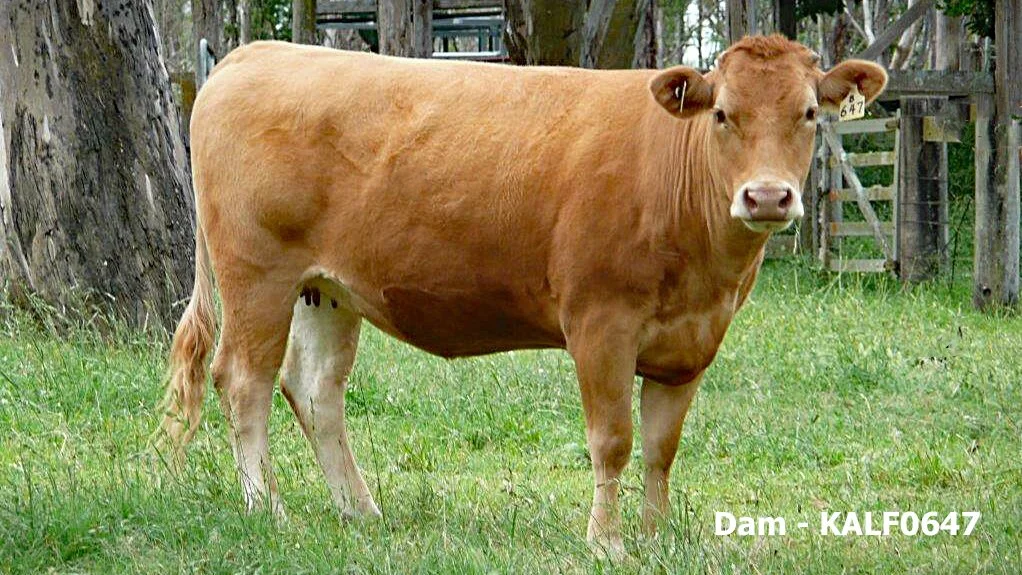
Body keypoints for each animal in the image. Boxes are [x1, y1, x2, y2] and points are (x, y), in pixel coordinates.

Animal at [159, 35, 886, 555]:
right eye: (723, 114)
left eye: (810, 114)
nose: (767, 196)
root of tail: (253, 54)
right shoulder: (600, 324)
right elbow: (613, 440)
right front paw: (607, 543)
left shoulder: (691, 343)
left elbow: (661, 447)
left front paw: (653, 540)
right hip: (258, 275)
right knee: (244, 380)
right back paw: (269, 508)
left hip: (325, 290)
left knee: (313, 389)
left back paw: (360, 509)